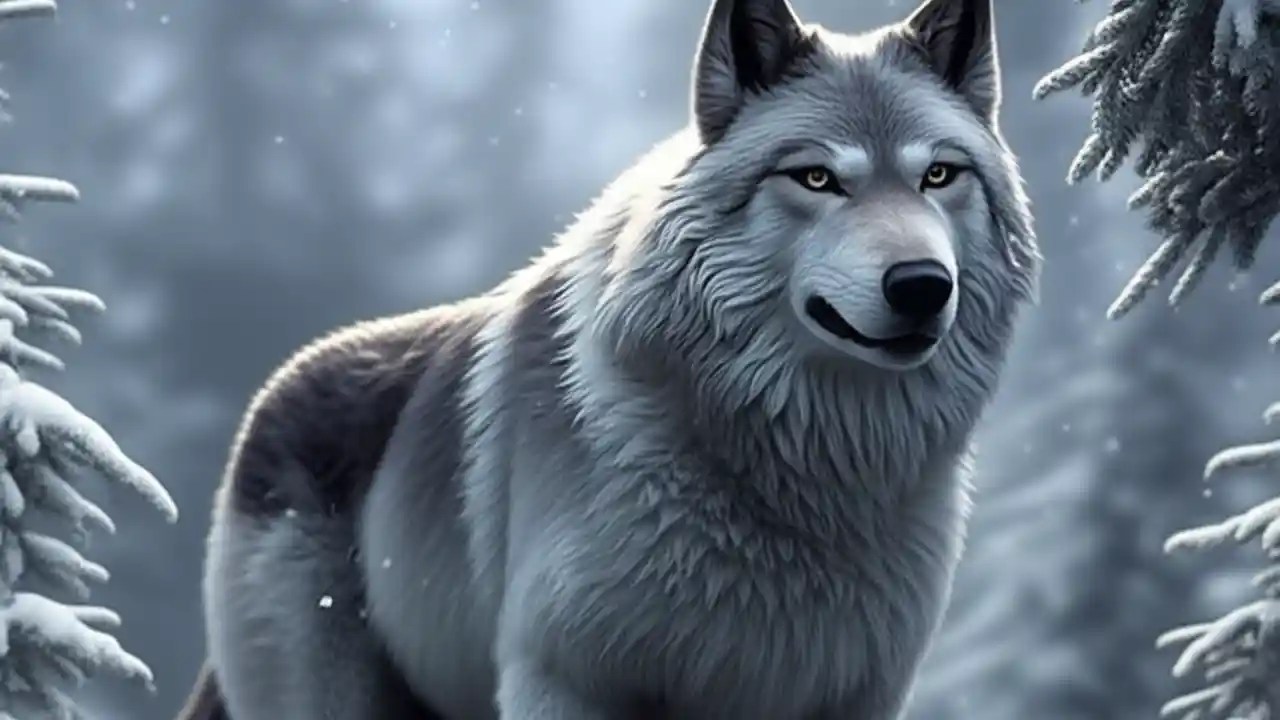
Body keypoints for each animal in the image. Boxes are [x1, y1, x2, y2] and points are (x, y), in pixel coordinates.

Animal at [178, 0, 1038, 717]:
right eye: (819, 178)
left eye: (938, 175)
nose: (922, 285)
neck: (799, 476)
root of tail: (274, 390)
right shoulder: (565, 680)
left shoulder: (855, 697)